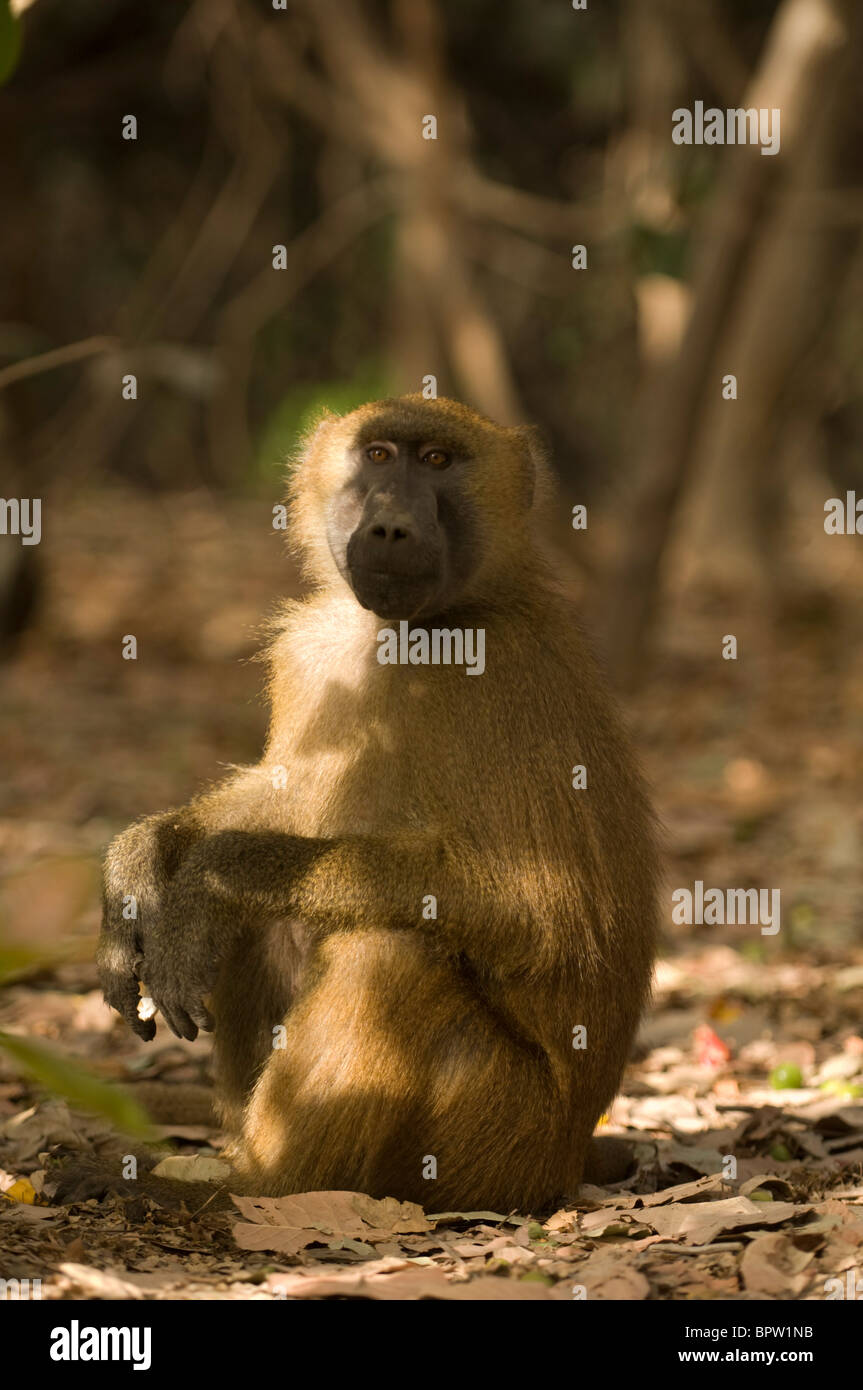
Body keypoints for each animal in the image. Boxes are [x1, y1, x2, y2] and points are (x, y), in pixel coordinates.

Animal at [96, 394, 659, 1213]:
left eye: (437, 462)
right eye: (379, 456)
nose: (391, 525)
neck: (404, 633)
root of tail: (569, 1156)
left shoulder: (489, 677)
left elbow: (544, 909)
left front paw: (212, 877)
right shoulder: (313, 652)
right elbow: (288, 797)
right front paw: (140, 860)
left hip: (495, 1144)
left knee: (387, 955)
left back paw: (257, 1188)